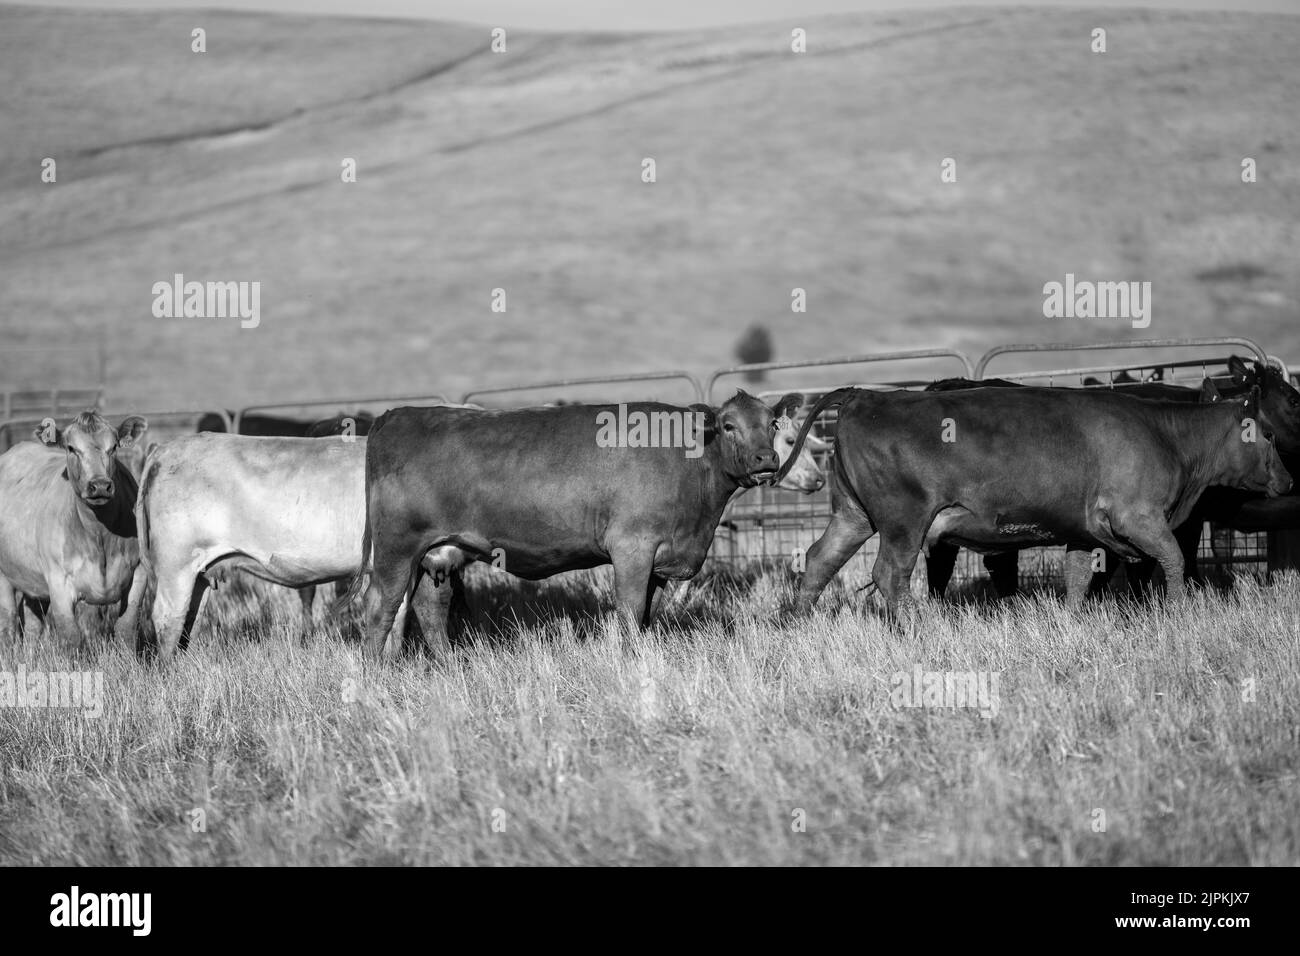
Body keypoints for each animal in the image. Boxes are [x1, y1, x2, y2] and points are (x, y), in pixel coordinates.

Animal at [0, 411, 150, 649]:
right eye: (71, 448)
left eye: (113, 447)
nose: (100, 485)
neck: (99, 535)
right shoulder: (58, 582)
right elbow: (70, 636)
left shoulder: (139, 572)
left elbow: (126, 629)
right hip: (5, 576)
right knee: (8, 624)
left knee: (32, 622)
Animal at [342, 391, 803, 658]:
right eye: (728, 425)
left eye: (773, 423)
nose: (765, 459)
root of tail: (396, 416)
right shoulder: (633, 548)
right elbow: (630, 613)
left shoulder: (660, 560)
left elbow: (648, 616)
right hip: (397, 548)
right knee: (381, 607)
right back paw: (371, 678)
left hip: (438, 552)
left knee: (429, 607)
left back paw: (450, 667)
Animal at [775, 385, 1290, 621]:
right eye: (1266, 433)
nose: (1286, 480)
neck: (1166, 434)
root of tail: (864, 395)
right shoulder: (1139, 517)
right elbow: (1174, 559)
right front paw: (1179, 613)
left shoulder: (1084, 532)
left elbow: (1079, 577)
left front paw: (1074, 622)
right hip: (905, 521)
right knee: (889, 574)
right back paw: (918, 628)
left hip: (853, 515)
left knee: (820, 559)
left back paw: (800, 625)